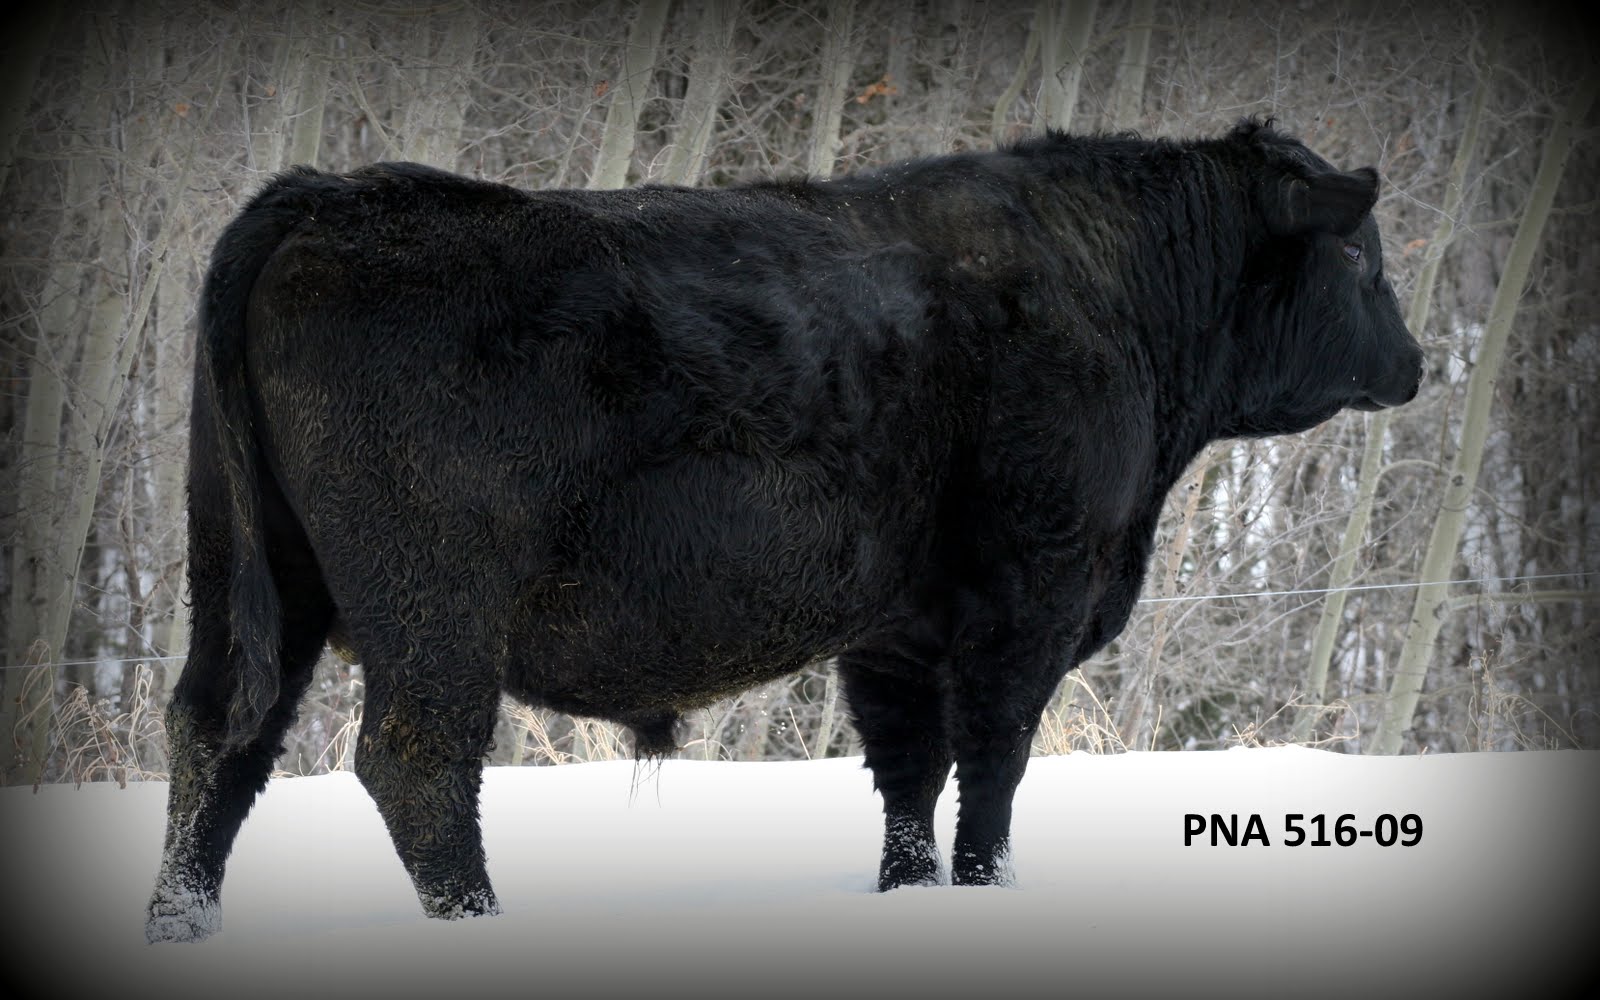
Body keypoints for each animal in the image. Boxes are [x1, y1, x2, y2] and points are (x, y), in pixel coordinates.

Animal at [146, 118, 1423, 942]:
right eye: (1360, 254)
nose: (1414, 363)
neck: (1114, 290)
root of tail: (325, 196)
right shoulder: (1028, 596)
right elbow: (993, 764)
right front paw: (988, 890)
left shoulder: (899, 629)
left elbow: (908, 770)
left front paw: (910, 896)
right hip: (432, 607)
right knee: (414, 759)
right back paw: (477, 929)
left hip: (251, 573)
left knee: (218, 731)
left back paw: (181, 923)